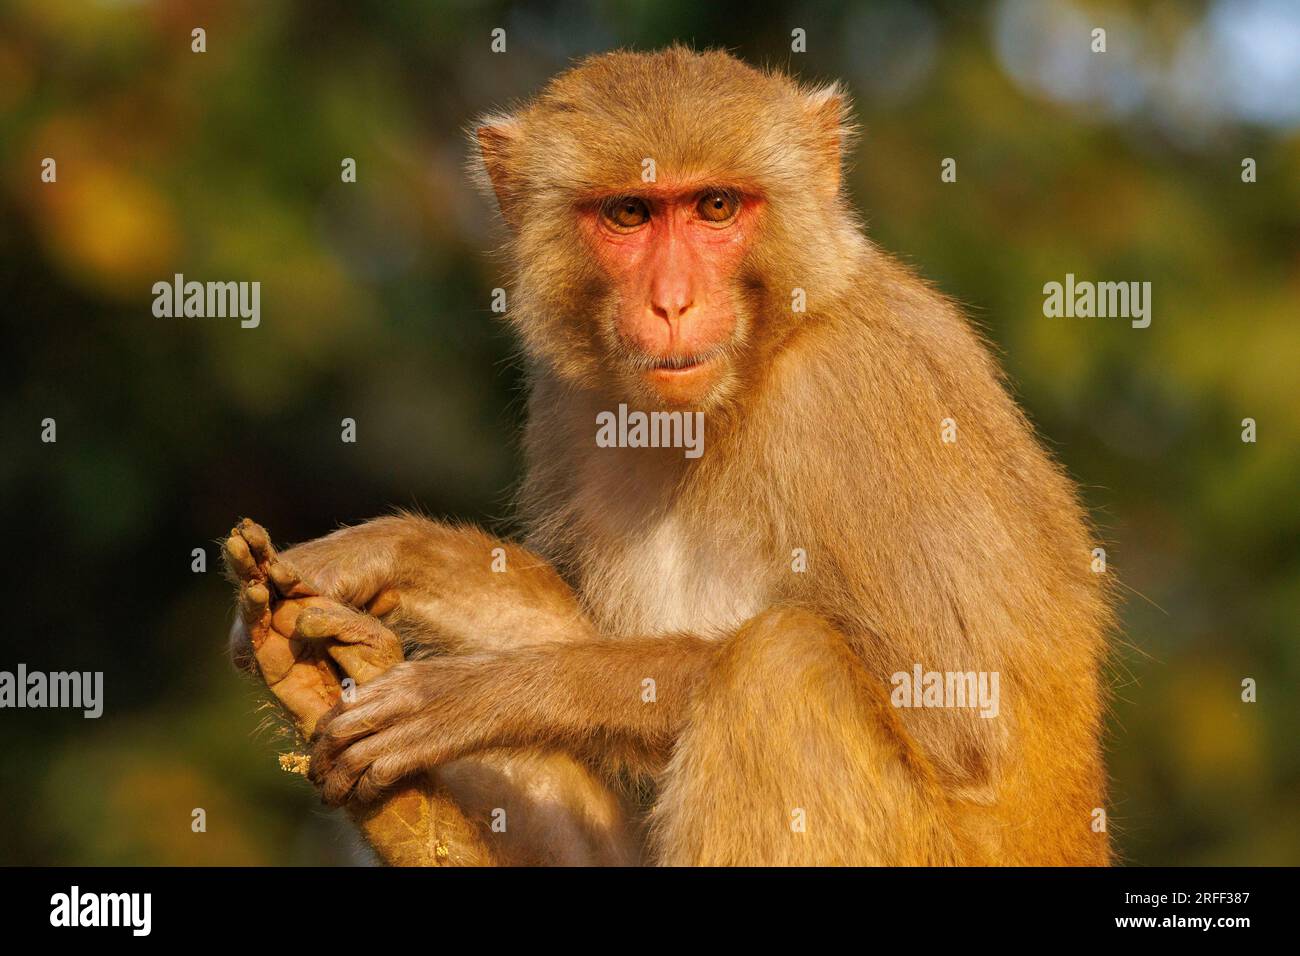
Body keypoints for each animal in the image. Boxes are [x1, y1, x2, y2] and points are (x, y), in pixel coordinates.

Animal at [226, 46, 1113, 866]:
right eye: (630, 214)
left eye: (715, 206)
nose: (673, 303)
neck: (738, 391)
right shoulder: (567, 405)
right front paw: (396, 557)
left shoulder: (870, 391)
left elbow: (955, 716)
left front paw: (491, 693)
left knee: (780, 664)